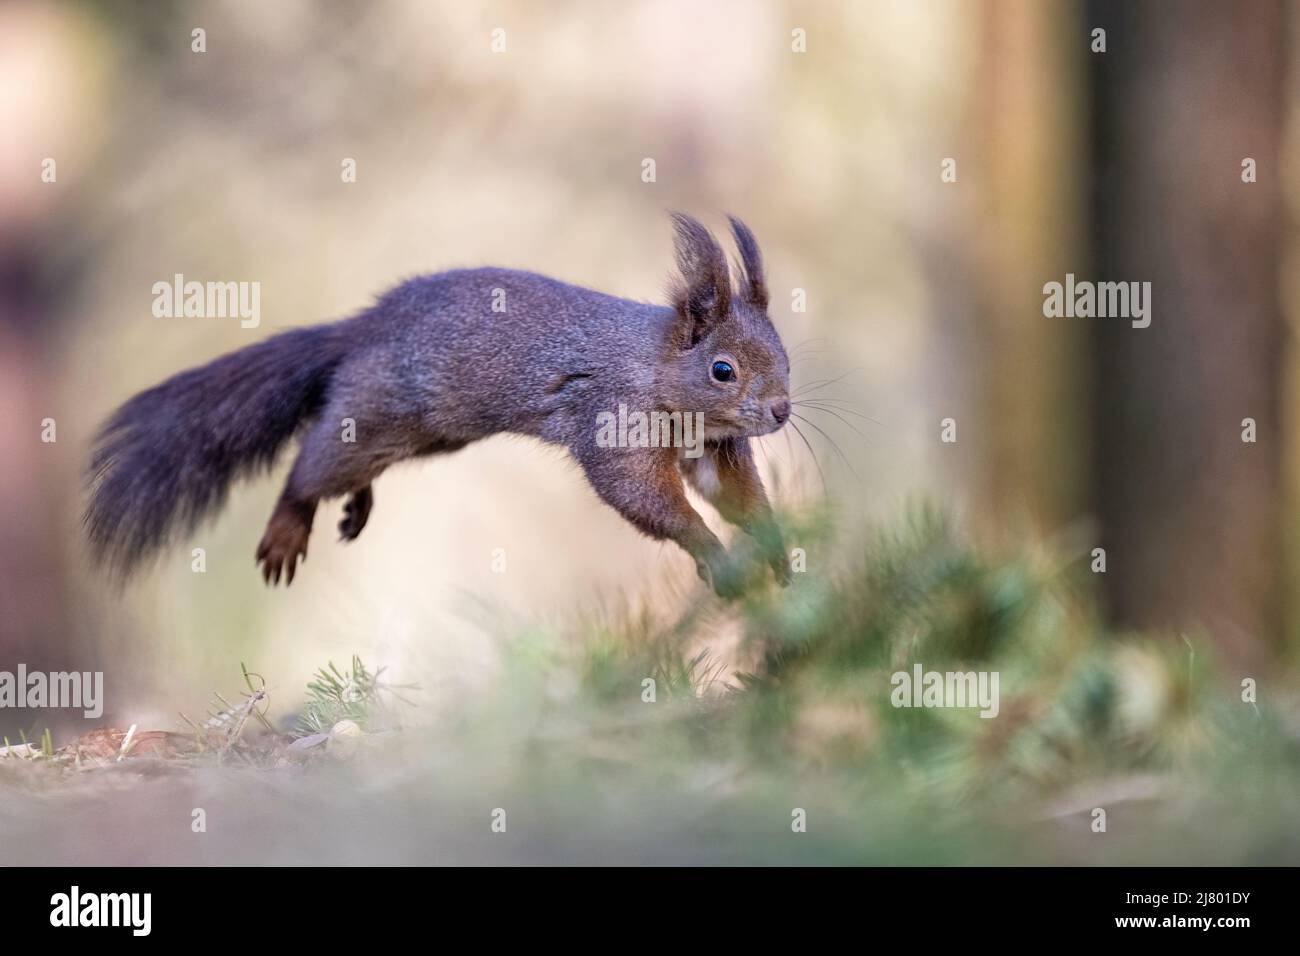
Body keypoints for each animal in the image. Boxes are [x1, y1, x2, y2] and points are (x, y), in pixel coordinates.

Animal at [85, 213, 792, 598]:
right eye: (723, 370)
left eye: (784, 354)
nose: (782, 410)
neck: (659, 370)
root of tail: (361, 329)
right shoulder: (611, 418)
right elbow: (643, 496)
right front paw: (711, 550)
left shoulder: (715, 448)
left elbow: (735, 493)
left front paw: (780, 548)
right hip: (385, 405)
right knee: (312, 463)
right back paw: (290, 524)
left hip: (429, 433)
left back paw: (358, 504)